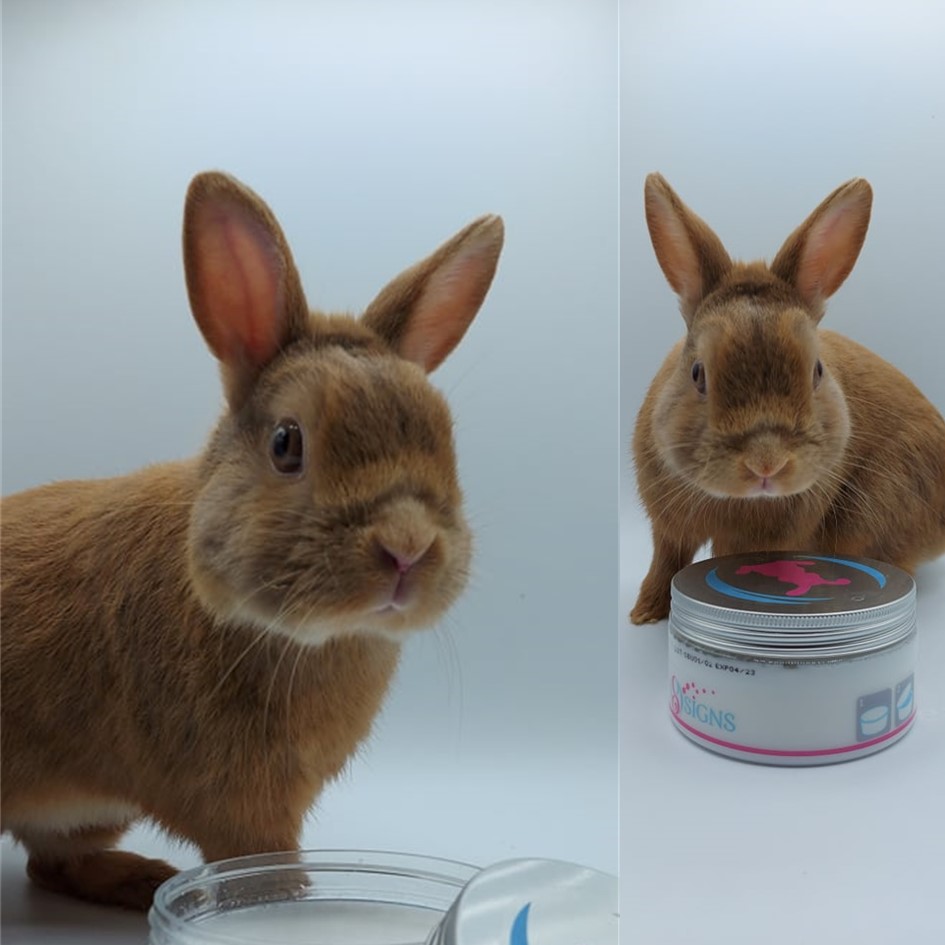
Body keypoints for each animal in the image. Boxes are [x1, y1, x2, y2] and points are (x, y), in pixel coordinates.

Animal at [0, 171, 504, 910]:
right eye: (286, 443)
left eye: (445, 439)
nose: (407, 548)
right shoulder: (238, 802)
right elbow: (260, 863)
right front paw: (287, 901)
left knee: (52, 863)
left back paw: (140, 879)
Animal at [630, 173, 945, 625]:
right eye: (698, 374)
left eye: (817, 371)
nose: (767, 463)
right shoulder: (668, 530)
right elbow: (665, 563)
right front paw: (645, 614)